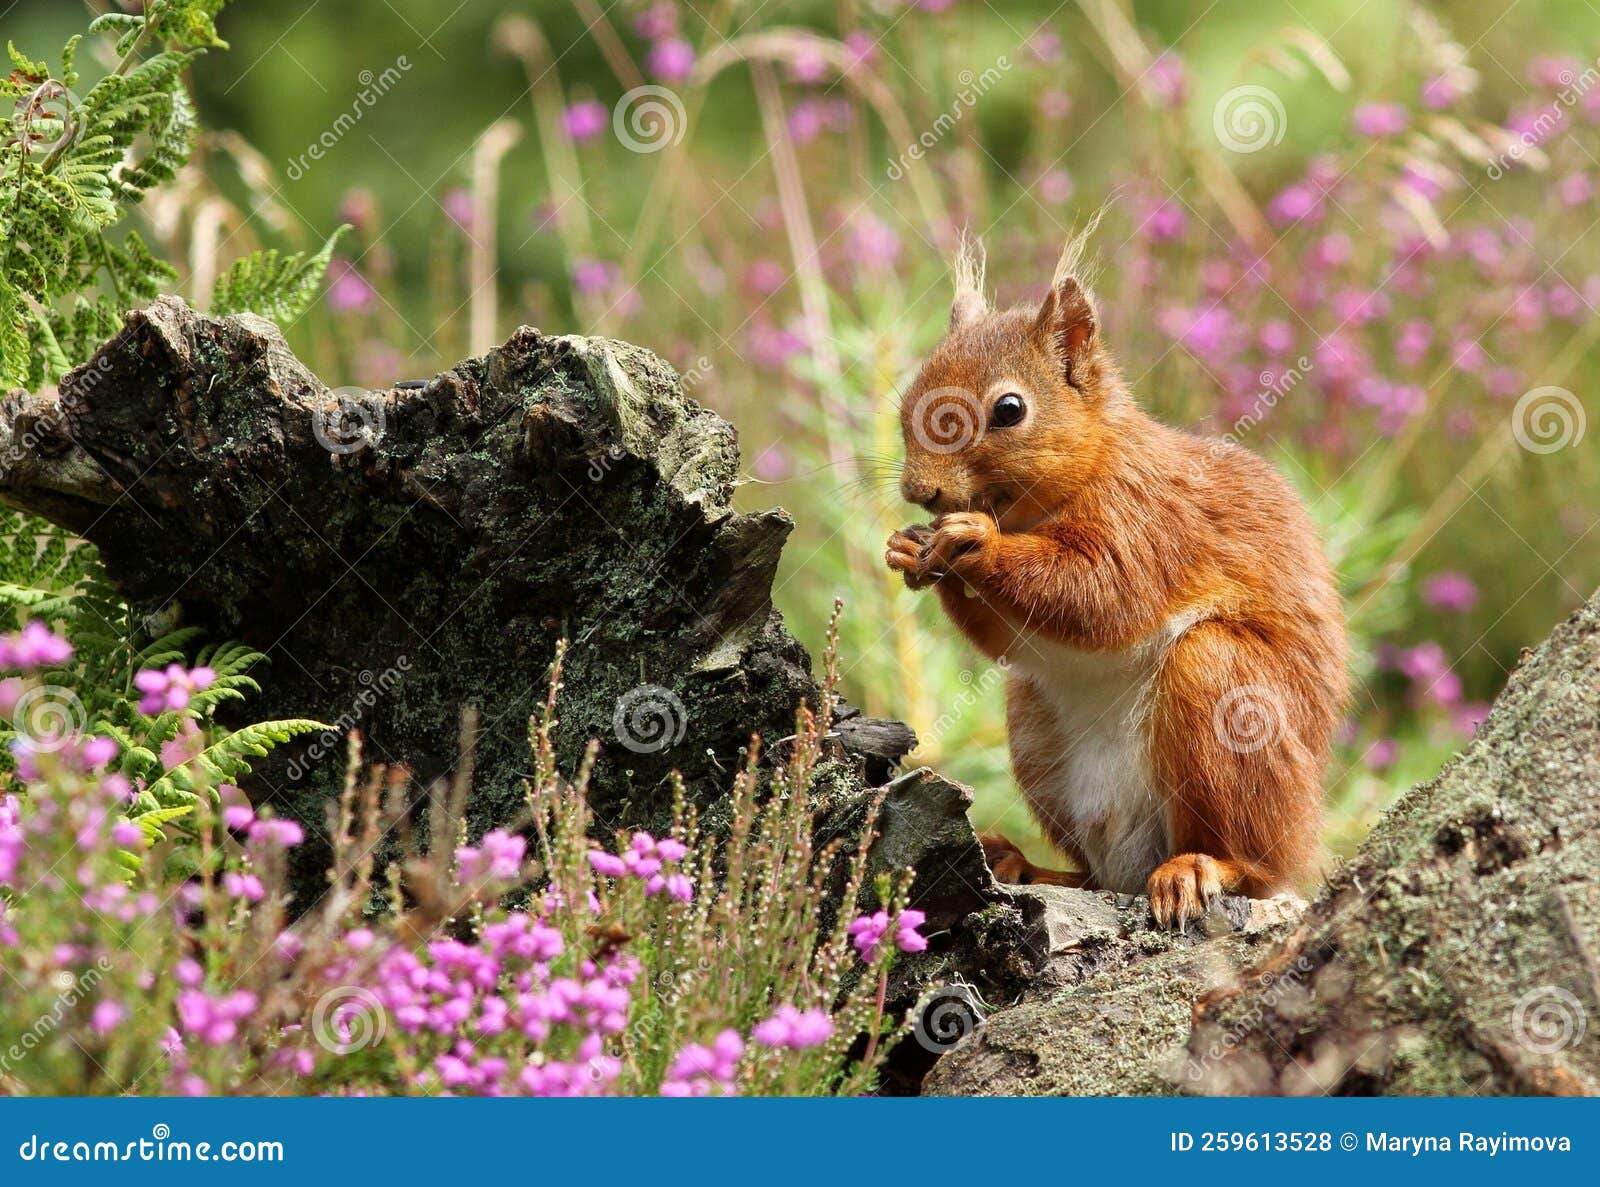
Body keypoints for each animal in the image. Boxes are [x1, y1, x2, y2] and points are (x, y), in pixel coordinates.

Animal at [885, 231, 1348, 929]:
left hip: (1224, 689)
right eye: (908, 395)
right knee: (1092, 873)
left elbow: (1101, 595)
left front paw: (977, 542)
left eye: (1009, 409)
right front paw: (911, 549)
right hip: (1035, 733)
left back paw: (1199, 868)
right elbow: (1010, 639)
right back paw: (1027, 865)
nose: (920, 491)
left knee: (1256, 867)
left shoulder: (1150, 521)